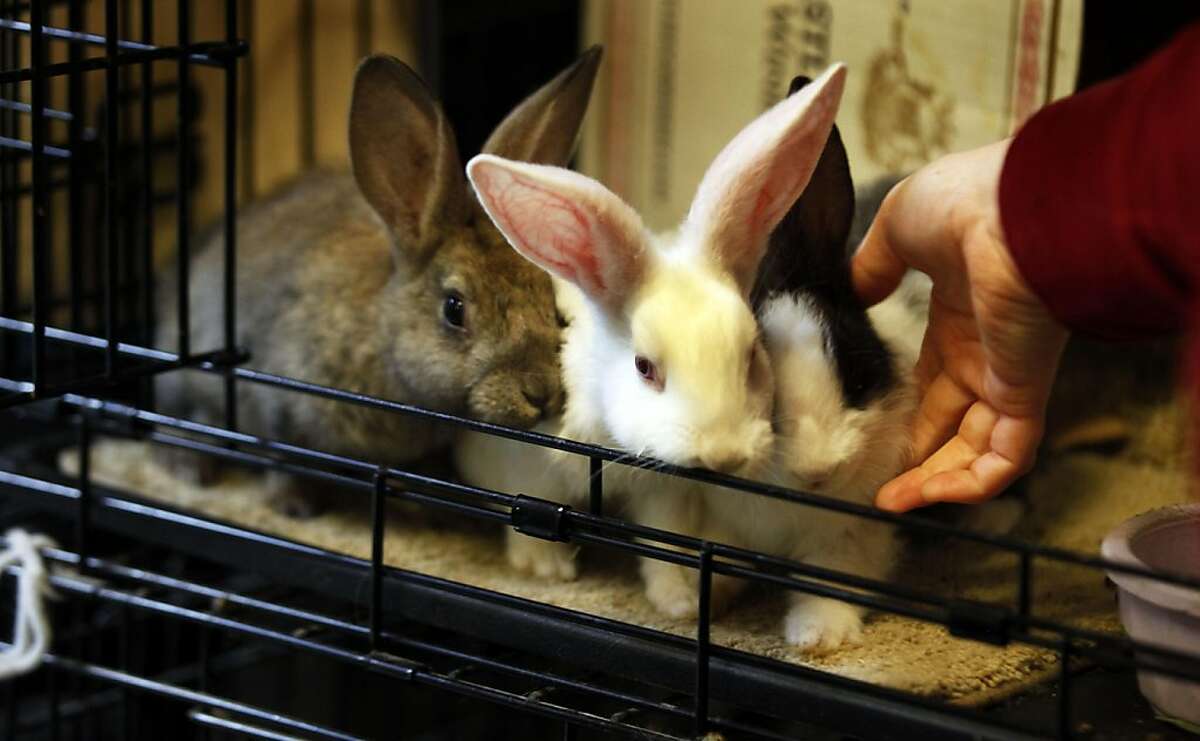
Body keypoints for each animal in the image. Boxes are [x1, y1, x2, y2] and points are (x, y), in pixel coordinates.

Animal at [155, 49, 603, 516]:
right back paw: (186, 464)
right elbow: (284, 455)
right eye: (454, 309)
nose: (541, 393)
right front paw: (295, 506)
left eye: (551, 304)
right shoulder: (277, 400)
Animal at [462, 65, 851, 619]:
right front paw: (546, 569)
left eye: (752, 356)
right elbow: (525, 512)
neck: (608, 447)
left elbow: (664, 543)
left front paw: (681, 600)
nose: (723, 455)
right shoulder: (523, 466)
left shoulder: (665, 494)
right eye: (644, 367)